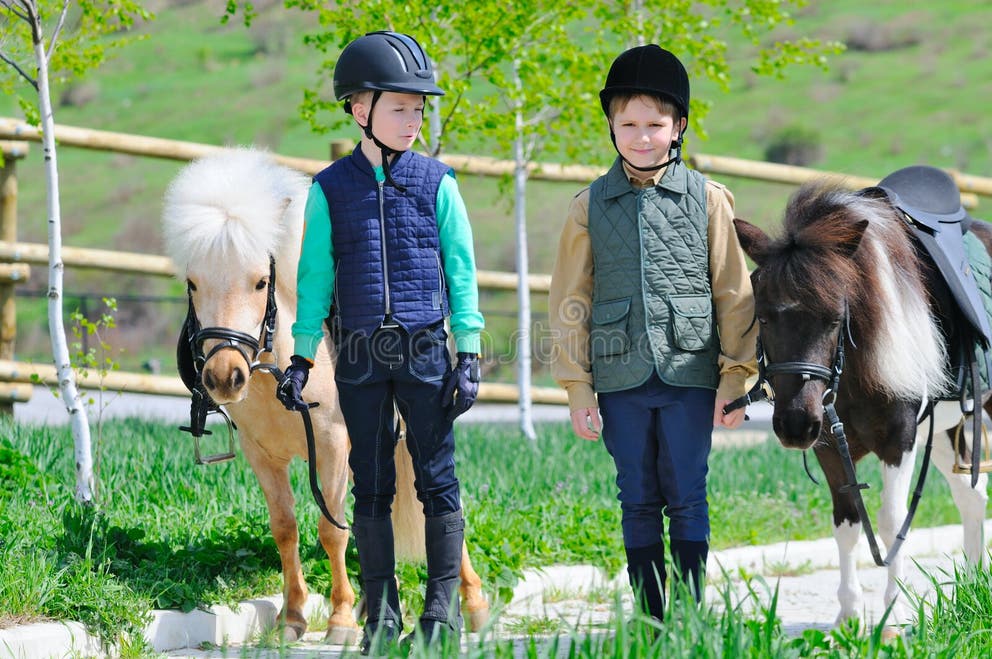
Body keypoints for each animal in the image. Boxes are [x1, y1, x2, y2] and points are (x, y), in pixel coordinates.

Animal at [733, 181, 990, 629]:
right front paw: (849, 616)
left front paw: (892, 617)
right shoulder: (830, 446)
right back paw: (973, 587)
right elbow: (847, 523)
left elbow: (891, 524)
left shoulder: (900, 440)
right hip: (944, 430)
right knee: (971, 499)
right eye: (762, 317)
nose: (795, 425)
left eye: (836, 318)